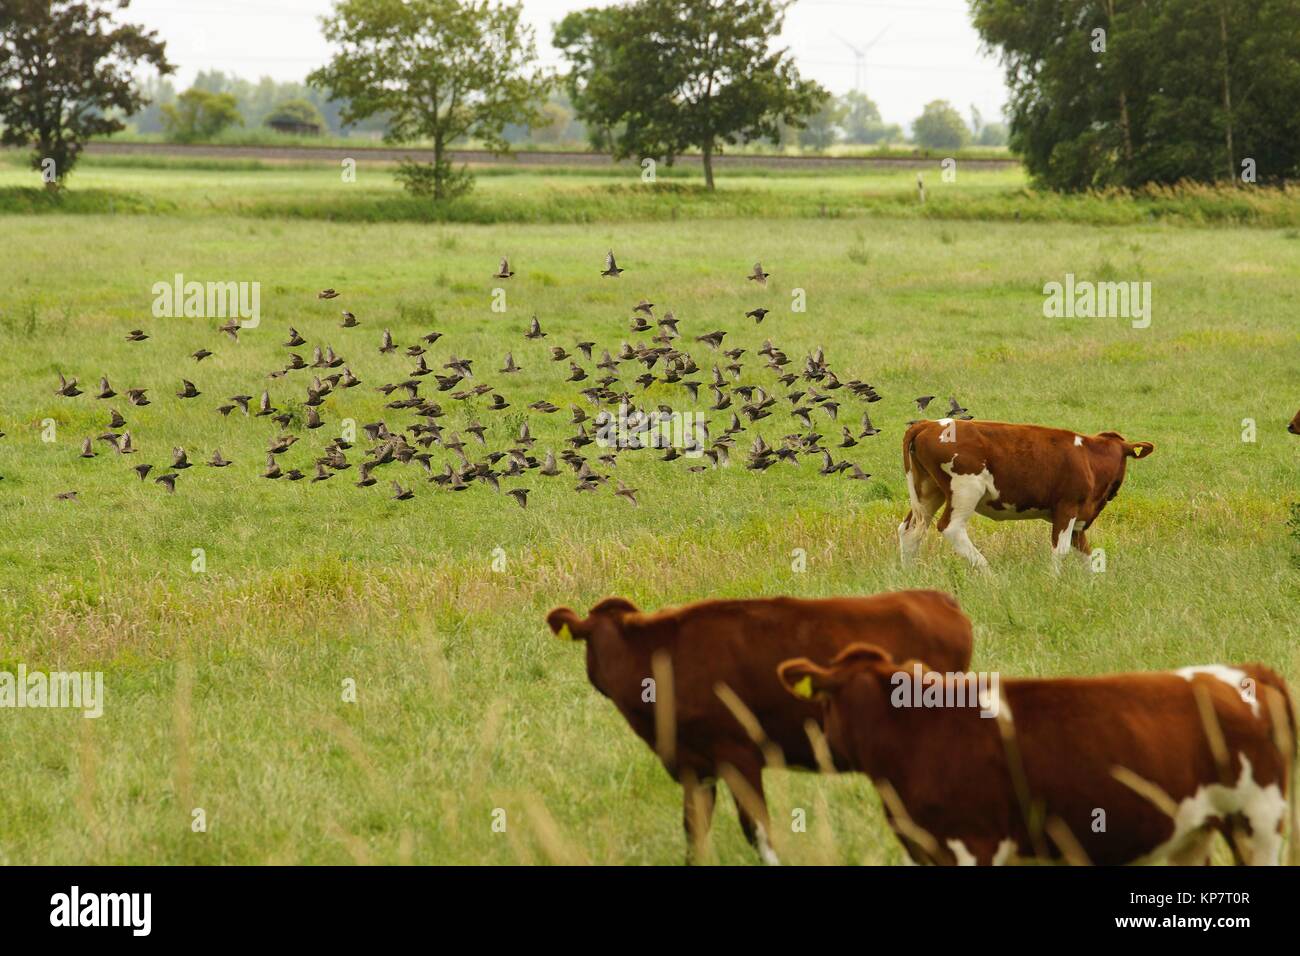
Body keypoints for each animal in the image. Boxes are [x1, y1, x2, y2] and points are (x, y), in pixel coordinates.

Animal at [898, 419, 1155, 568]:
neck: (1091, 460)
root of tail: (927, 424)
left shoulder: (1080, 520)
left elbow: (1087, 556)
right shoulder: (1067, 508)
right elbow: (1060, 551)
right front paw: (1055, 584)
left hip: (929, 491)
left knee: (910, 531)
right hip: (965, 490)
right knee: (951, 528)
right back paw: (989, 575)